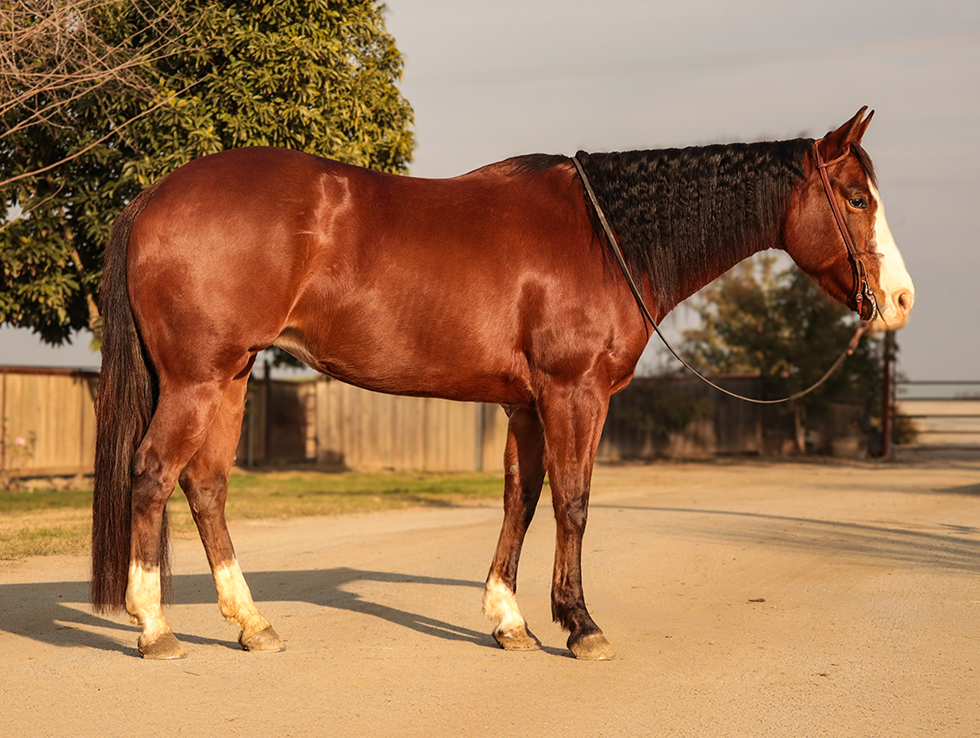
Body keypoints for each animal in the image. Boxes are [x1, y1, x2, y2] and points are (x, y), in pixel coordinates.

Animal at [92, 107, 914, 660]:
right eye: (856, 198)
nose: (901, 301)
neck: (604, 238)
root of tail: (153, 197)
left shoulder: (524, 405)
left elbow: (523, 498)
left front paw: (509, 620)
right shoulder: (574, 394)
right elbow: (574, 503)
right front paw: (580, 625)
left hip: (228, 378)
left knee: (205, 486)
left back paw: (252, 623)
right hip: (197, 380)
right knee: (152, 474)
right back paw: (154, 627)